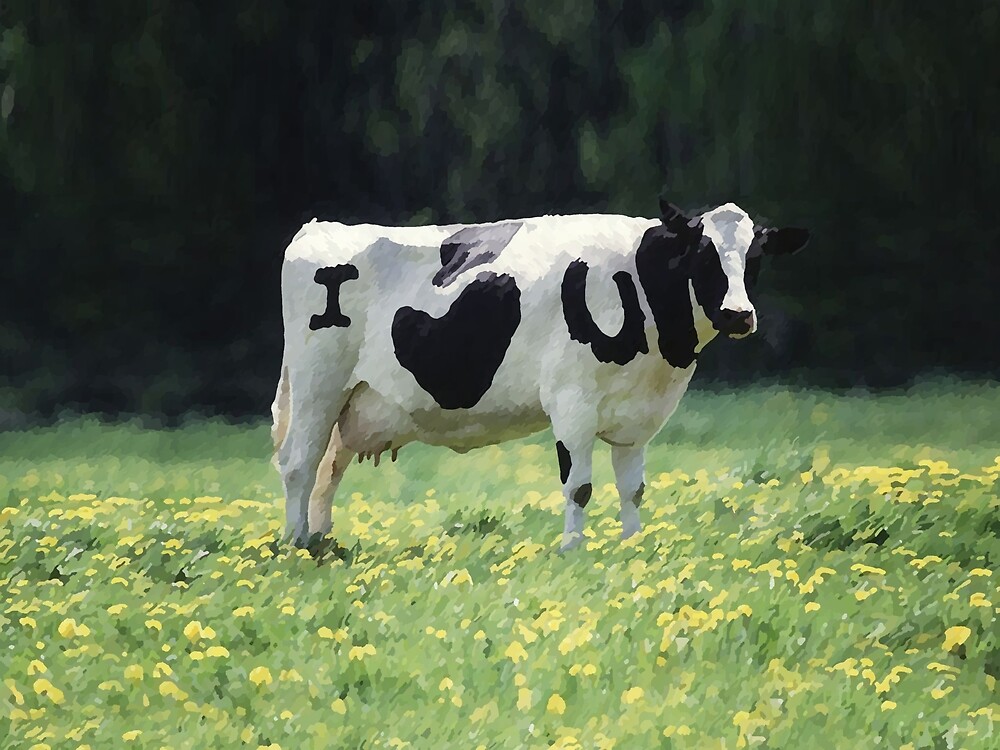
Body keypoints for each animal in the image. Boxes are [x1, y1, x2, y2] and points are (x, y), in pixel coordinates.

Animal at [271, 200, 809, 551]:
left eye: (755, 257)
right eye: (702, 255)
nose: (738, 314)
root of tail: (318, 229)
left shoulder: (637, 417)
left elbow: (632, 487)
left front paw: (632, 546)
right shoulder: (572, 401)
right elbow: (579, 486)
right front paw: (572, 550)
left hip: (351, 403)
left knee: (328, 470)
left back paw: (321, 542)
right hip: (318, 385)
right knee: (299, 463)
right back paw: (295, 545)